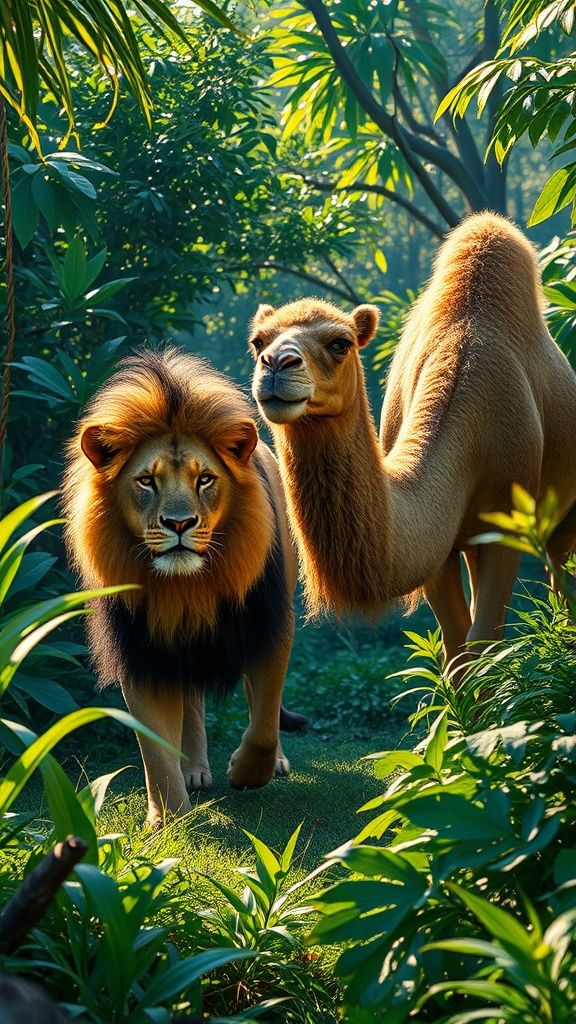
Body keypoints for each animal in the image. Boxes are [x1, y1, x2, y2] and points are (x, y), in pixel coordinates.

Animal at [63, 348, 299, 827]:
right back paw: (193, 770)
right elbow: (154, 748)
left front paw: (246, 772)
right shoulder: (141, 650)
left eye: (204, 478)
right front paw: (166, 818)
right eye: (146, 481)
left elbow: (264, 719)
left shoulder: (270, 626)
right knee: (191, 704)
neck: (188, 589)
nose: (178, 523)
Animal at [250, 212, 576, 669]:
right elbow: (459, 648)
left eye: (340, 343)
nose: (276, 363)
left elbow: (484, 640)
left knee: (560, 582)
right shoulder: (439, 548)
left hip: (559, 521)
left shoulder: (510, 522)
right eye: (258, 340)